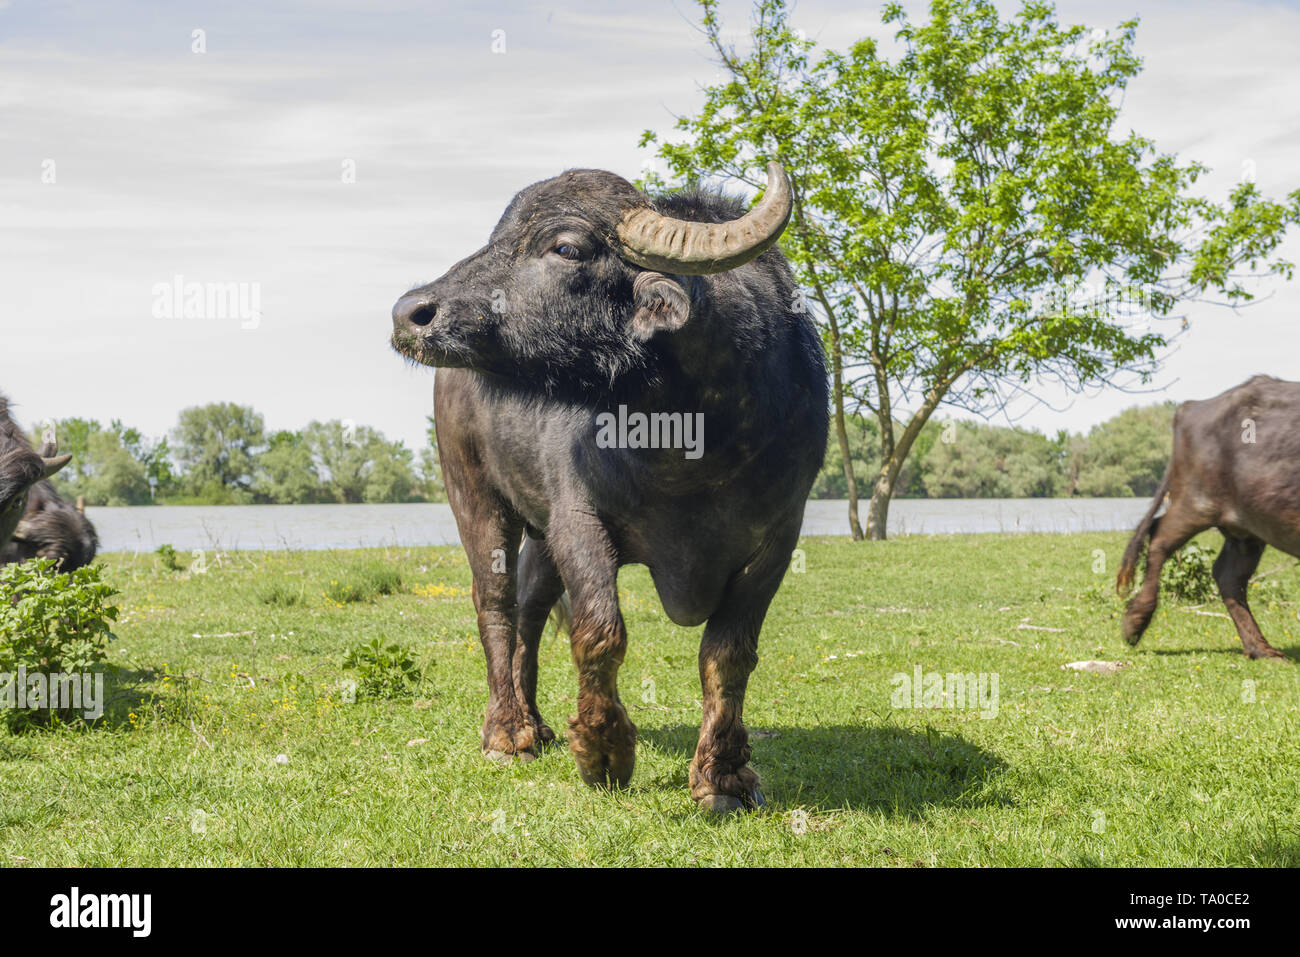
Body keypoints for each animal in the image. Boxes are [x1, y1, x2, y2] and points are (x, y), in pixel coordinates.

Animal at [391, 163, 828, 810]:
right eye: (498, 235)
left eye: (566, 248)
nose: (411, 312)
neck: (689, 441)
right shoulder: (579, 519)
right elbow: (600, 632)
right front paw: (603, 751)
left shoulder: (777, 538)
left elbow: (728, 655)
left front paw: (723, 776)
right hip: (473, 493)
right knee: (495, 601)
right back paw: (506, 732)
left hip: (539, 531)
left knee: (530, 607)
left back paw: (536, 722)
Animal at [1118, 375, 1300, 661]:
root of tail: (1192, 408)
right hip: (1196, 503)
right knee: (1159, 536)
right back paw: (1135, 622)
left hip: (1247, 529)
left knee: (1229, 576)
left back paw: (1261, 648)